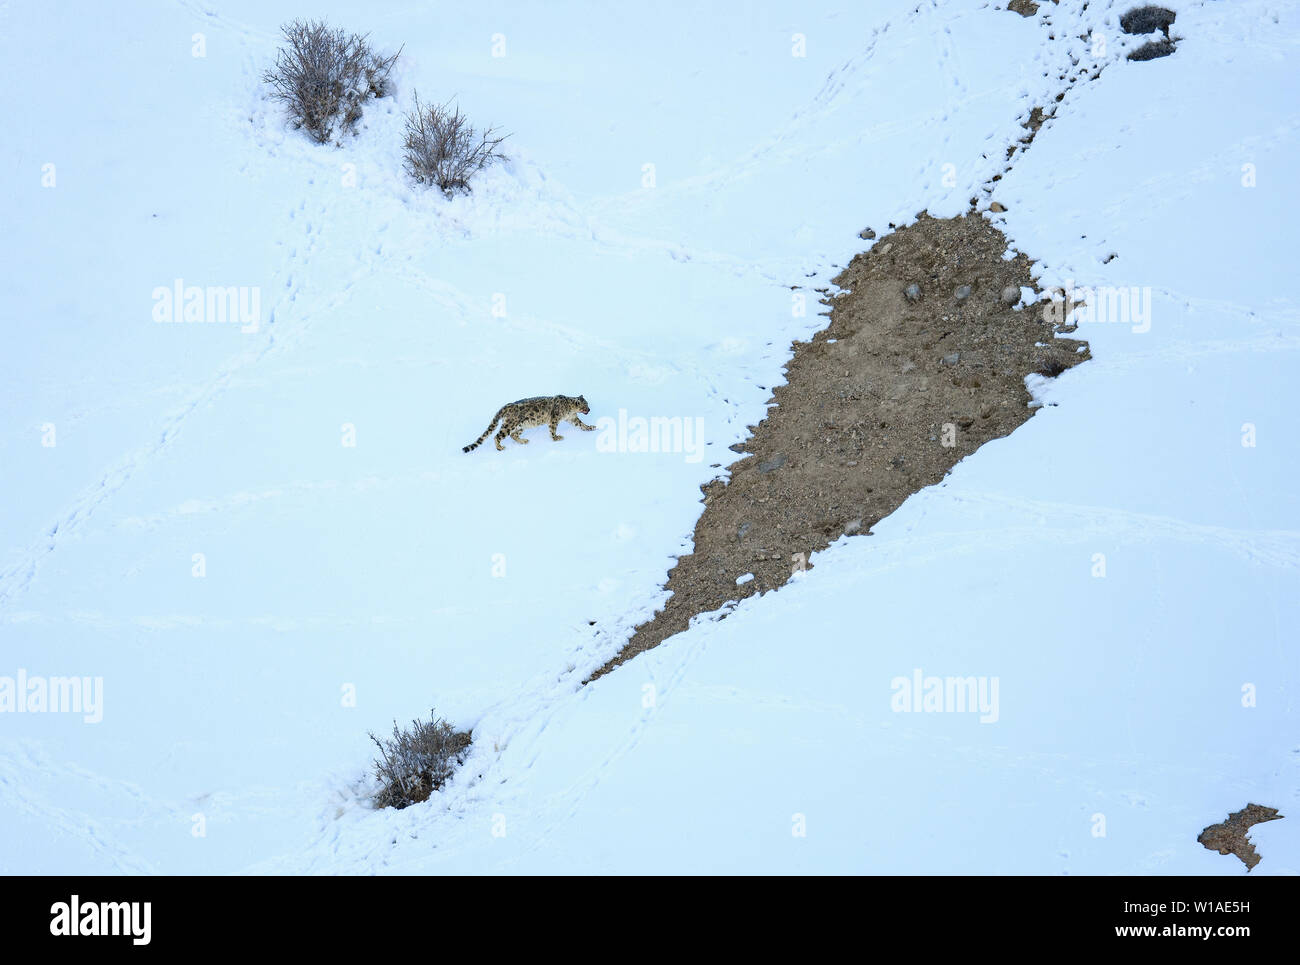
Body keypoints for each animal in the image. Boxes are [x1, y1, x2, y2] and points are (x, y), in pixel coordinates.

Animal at [462, 394, 596, 452]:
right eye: (585, 405)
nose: (589, 409)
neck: (570, 411)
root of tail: (506, 406)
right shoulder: (554, 419)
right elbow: (552, 430)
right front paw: (556, 438)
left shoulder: (572, 418)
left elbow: (581, 424)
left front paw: (590, 427)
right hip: (509, 425)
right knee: (498, 435)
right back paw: (500, 447)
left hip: (521, 426)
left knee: (513, 435)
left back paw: (523, 441)